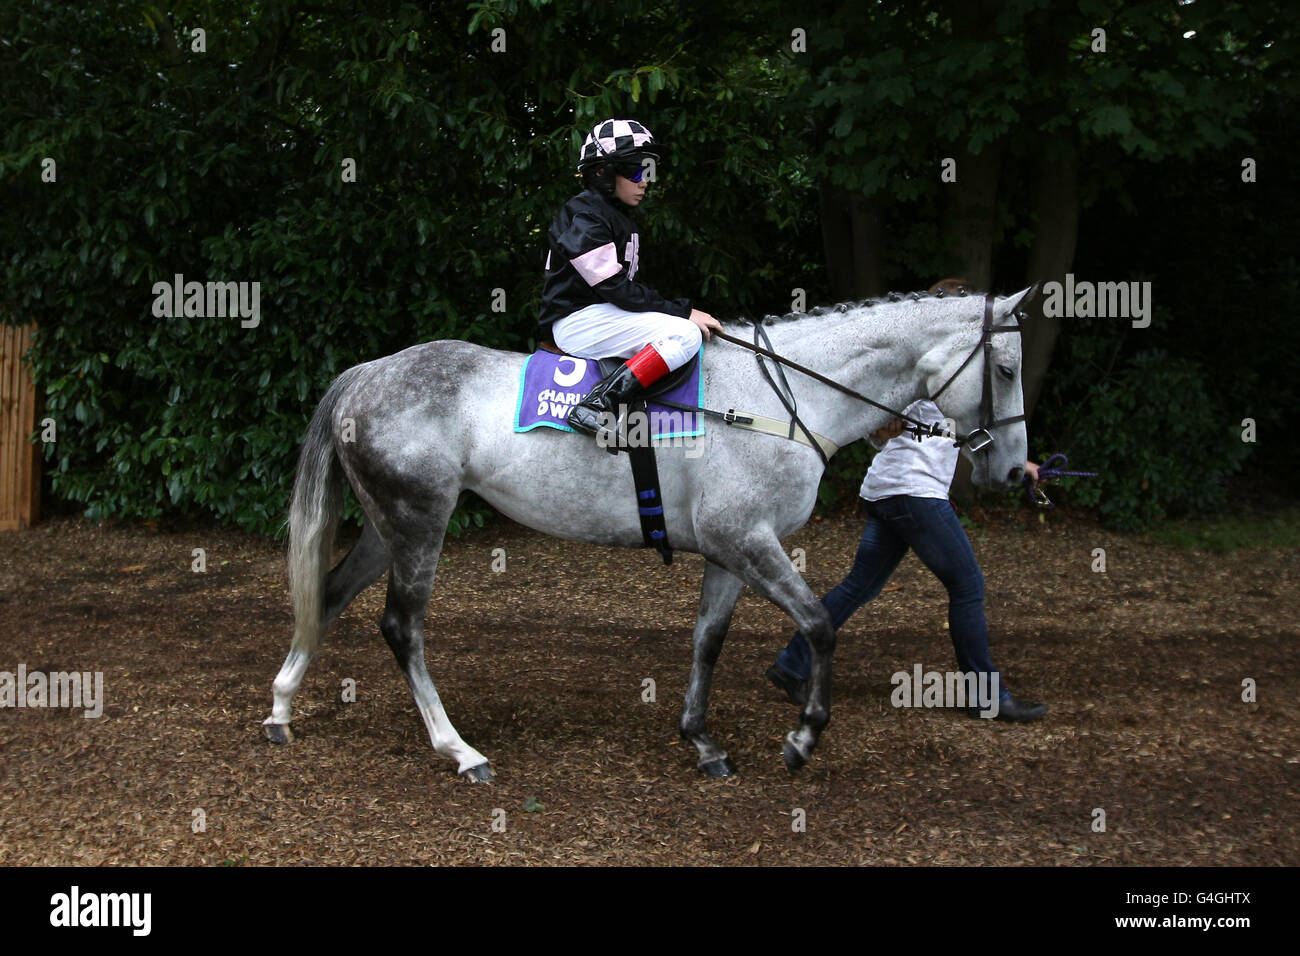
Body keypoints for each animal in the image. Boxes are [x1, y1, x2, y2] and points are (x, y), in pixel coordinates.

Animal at [262, 287, 1036, 781]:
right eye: (1005, 368)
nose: (1009, 467)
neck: (781, 396)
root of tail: (370, 370)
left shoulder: (729, 551)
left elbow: (708, 640)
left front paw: (702, 742)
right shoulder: (749, 540)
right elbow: (819, 623)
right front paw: (803, 734)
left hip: (387, 527)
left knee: (327, 595)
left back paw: (280, 707)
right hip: (419, 522)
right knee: (402, 627)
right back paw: (459, 749)